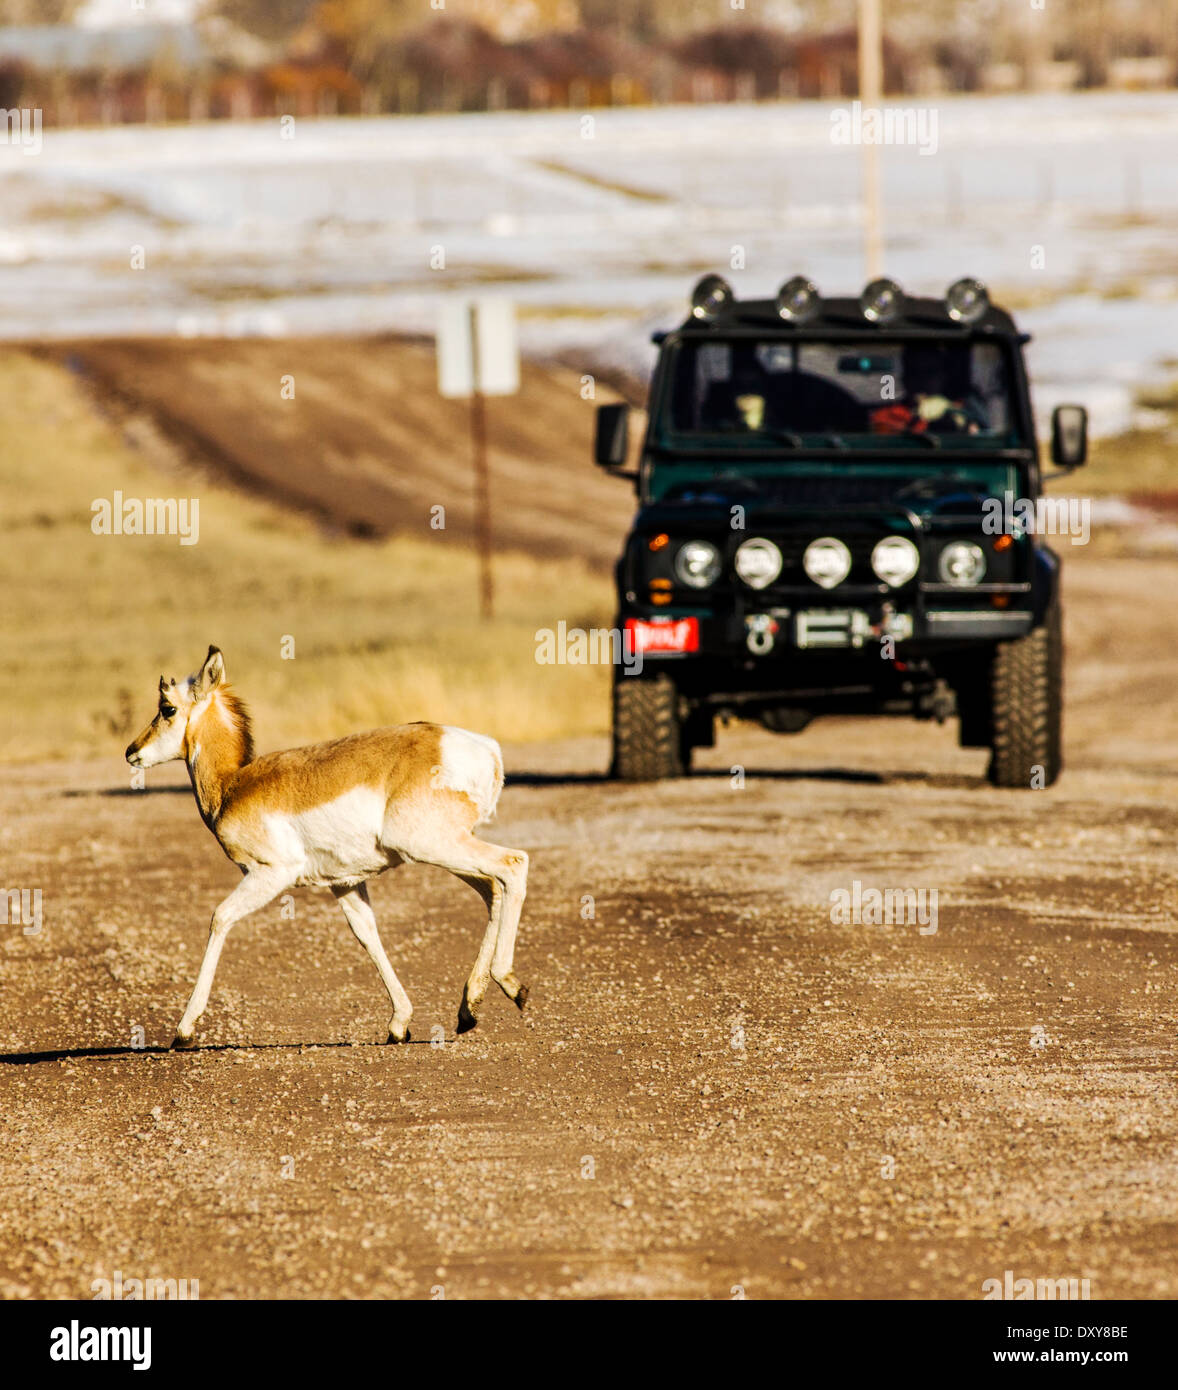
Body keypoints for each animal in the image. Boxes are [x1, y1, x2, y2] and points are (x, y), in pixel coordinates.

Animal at [125, 646, 528, 1048]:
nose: (131, 751)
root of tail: (485, 749)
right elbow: (366, 934)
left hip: (435, 847)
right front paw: (399, 1024)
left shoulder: (271, 874)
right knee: (493, 890)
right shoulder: (344, 882)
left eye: (167, 707)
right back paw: (469, 1009)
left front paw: (184, 1030)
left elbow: (220, 917)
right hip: (449, 851)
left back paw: (511, 985)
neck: (234, 784)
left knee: (513, 863)